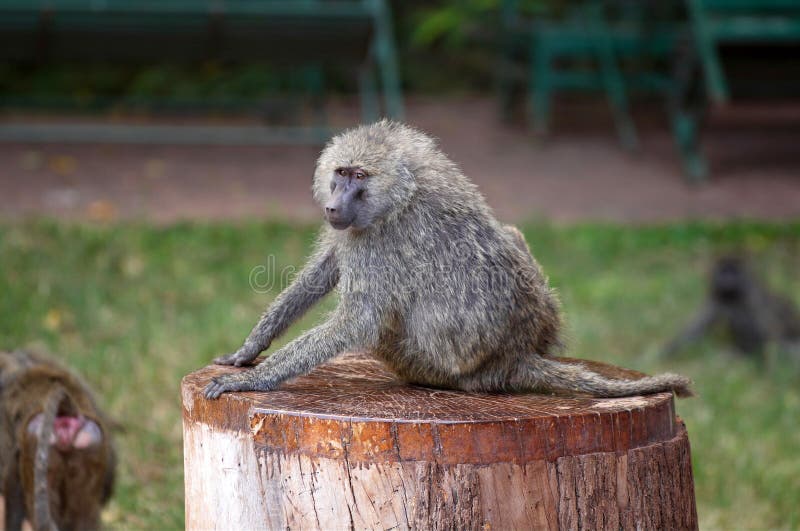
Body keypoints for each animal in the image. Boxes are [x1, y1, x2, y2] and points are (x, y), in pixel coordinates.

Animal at [204, 120, 692, 400]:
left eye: (359, 176)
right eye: (340, 173)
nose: (333, 205)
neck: (404, 190)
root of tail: (513, 358)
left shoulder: (380, 239)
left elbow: (356, 321)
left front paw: (252, 380)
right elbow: (319, 273)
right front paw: (248, 350)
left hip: (426, 364)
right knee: (512, 234)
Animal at [663, 254, 800, 357]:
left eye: (734, 272)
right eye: (723, 271)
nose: (728, 280)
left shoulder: (753, 296)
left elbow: (766, 327)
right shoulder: (715, 296)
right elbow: (697, 327)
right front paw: (670, 349)